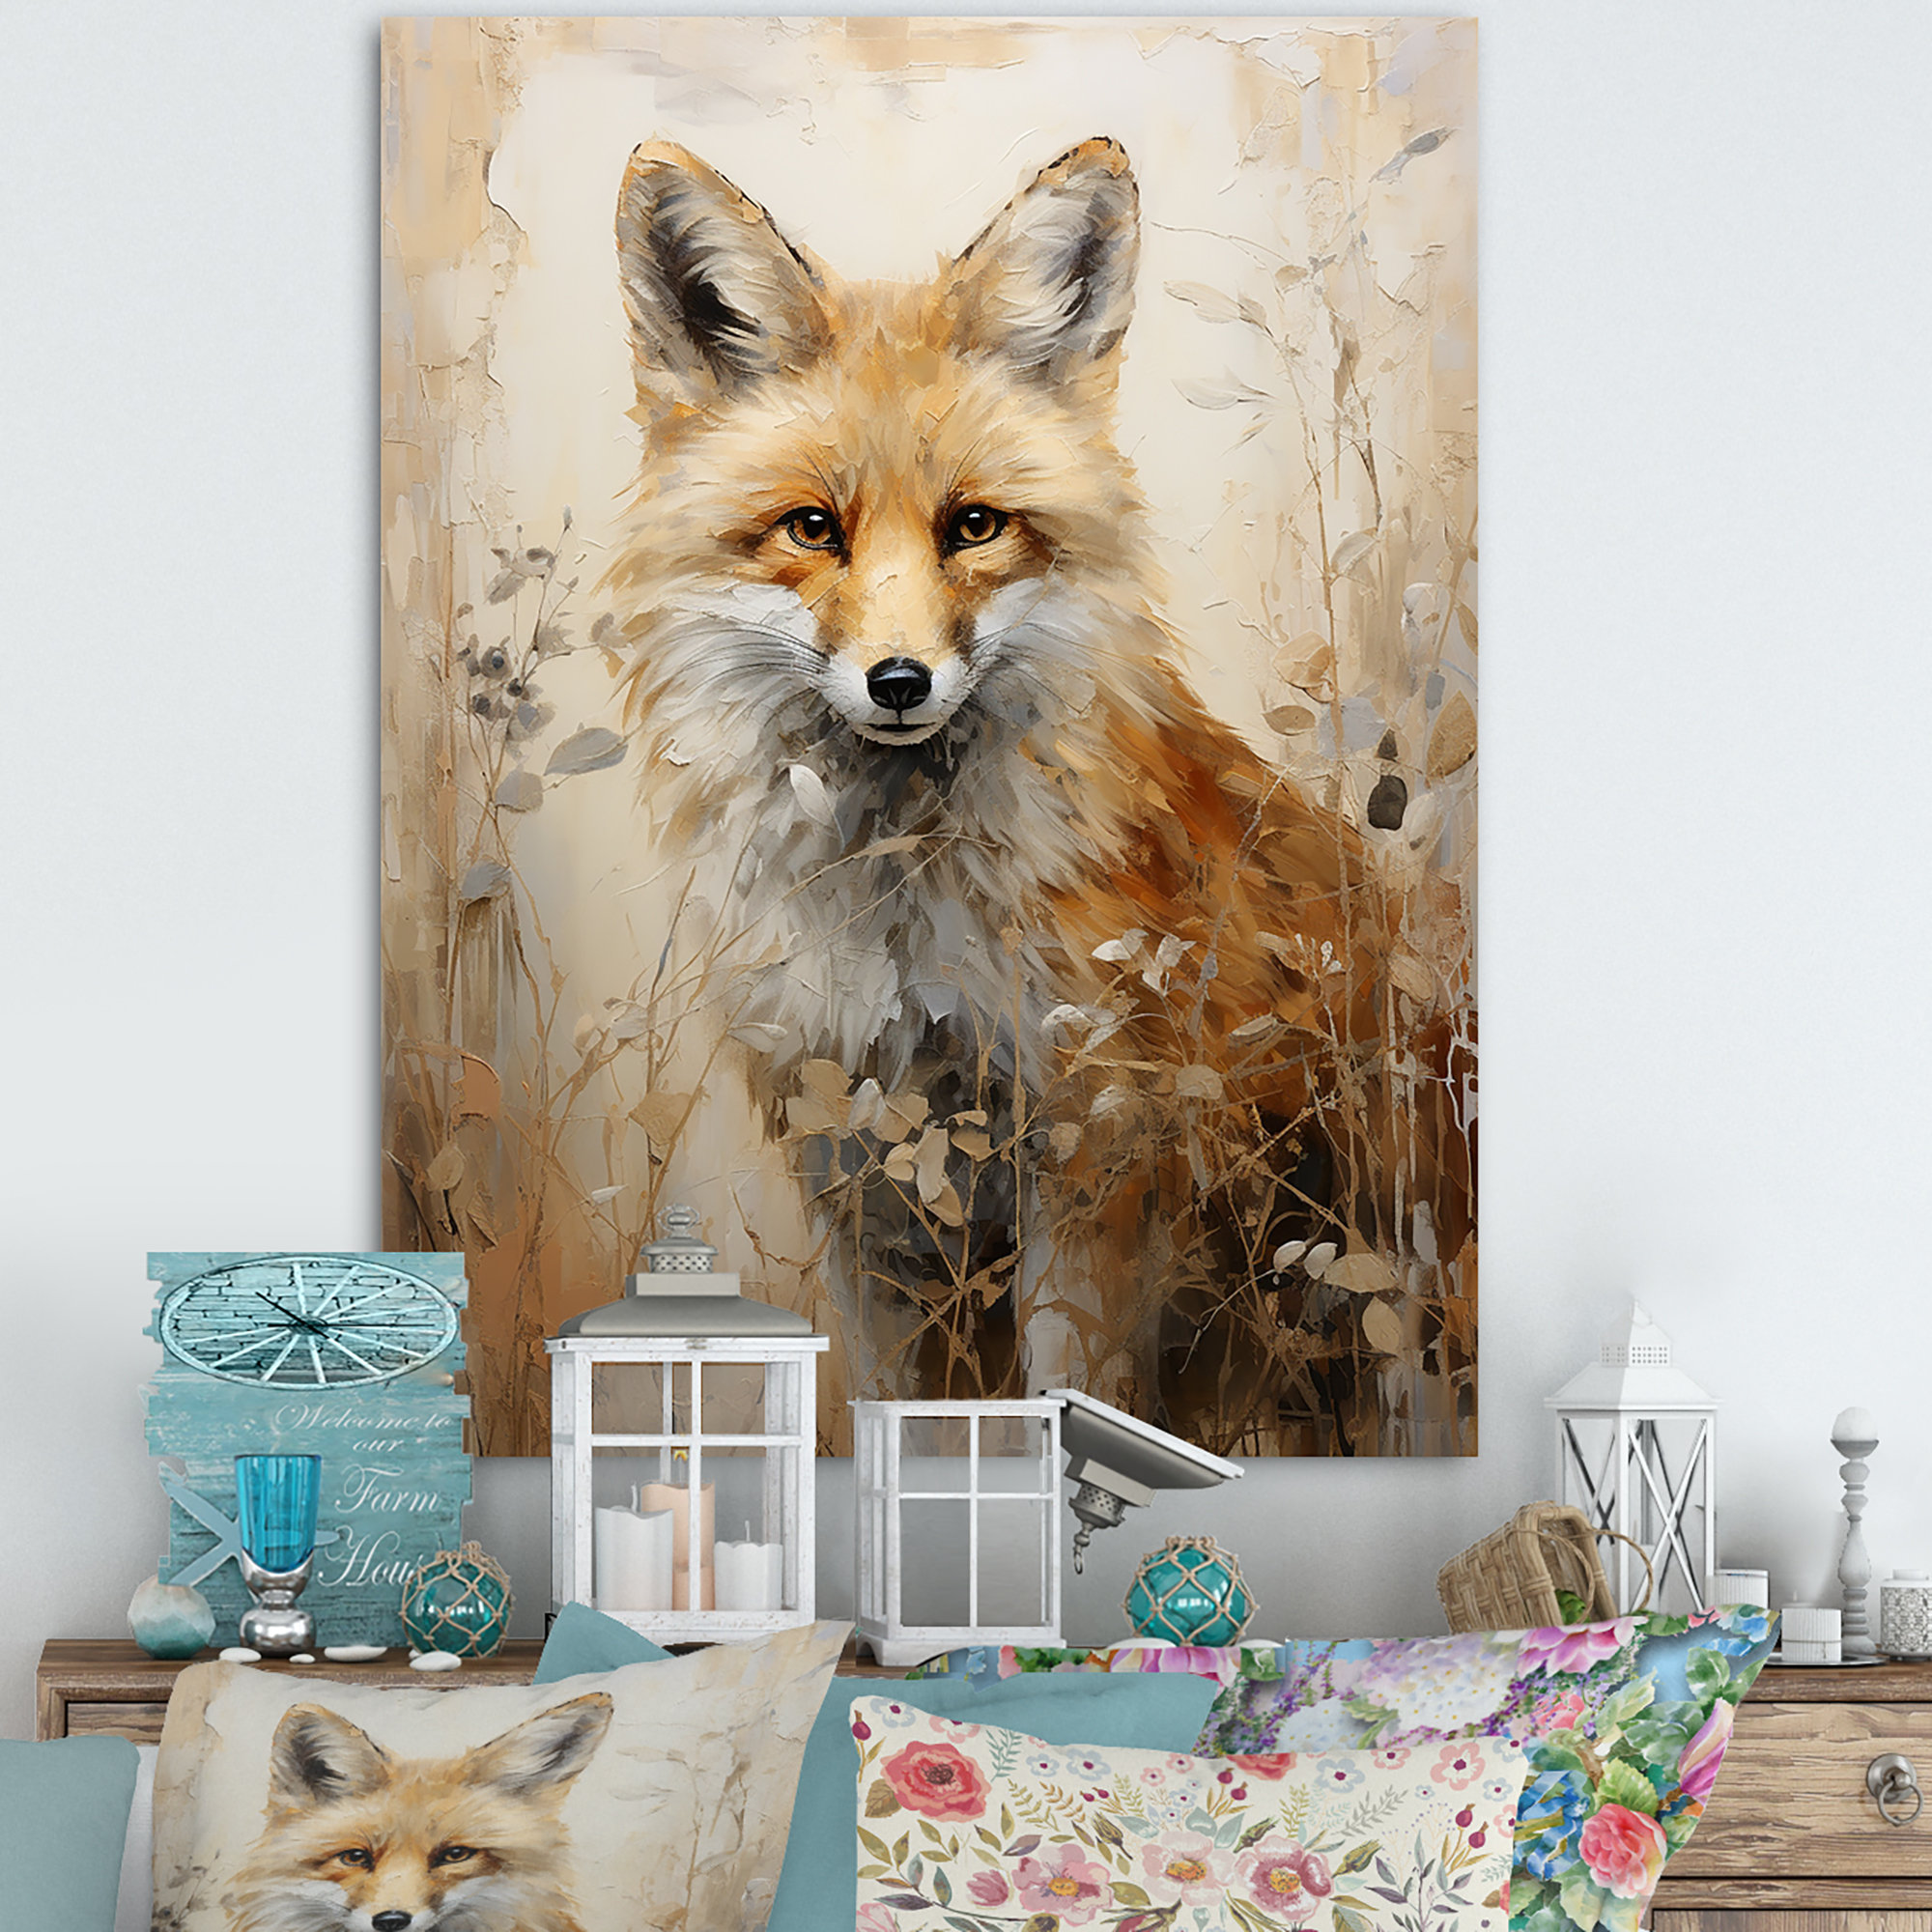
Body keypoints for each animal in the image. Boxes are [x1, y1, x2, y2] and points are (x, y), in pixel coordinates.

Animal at [606, 136, 1470, 1436]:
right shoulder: (857, 1175)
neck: (901, 922)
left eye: (973, 525)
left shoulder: (1094, 1158)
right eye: (811, 527)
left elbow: (1072, 1396)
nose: (898, 681)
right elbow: (885, 1401)